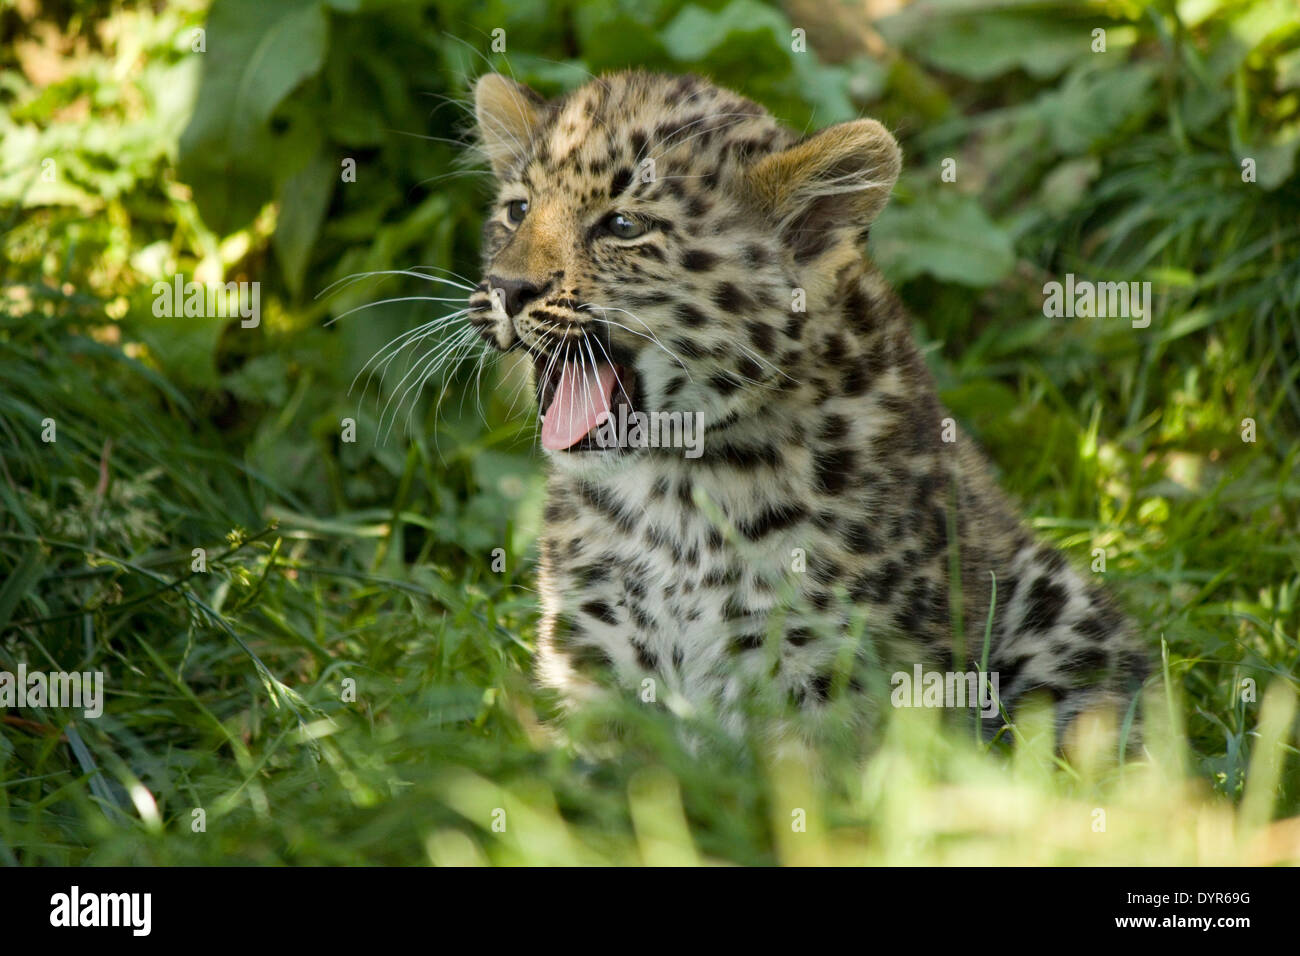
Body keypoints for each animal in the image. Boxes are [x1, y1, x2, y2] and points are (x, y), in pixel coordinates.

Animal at [463, 69, 1148, 749]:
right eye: (516, 211)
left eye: (624, 226)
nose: (506, 288)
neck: (676, 494)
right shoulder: (593, 666)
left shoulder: (829, 675)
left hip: (1055, 609)